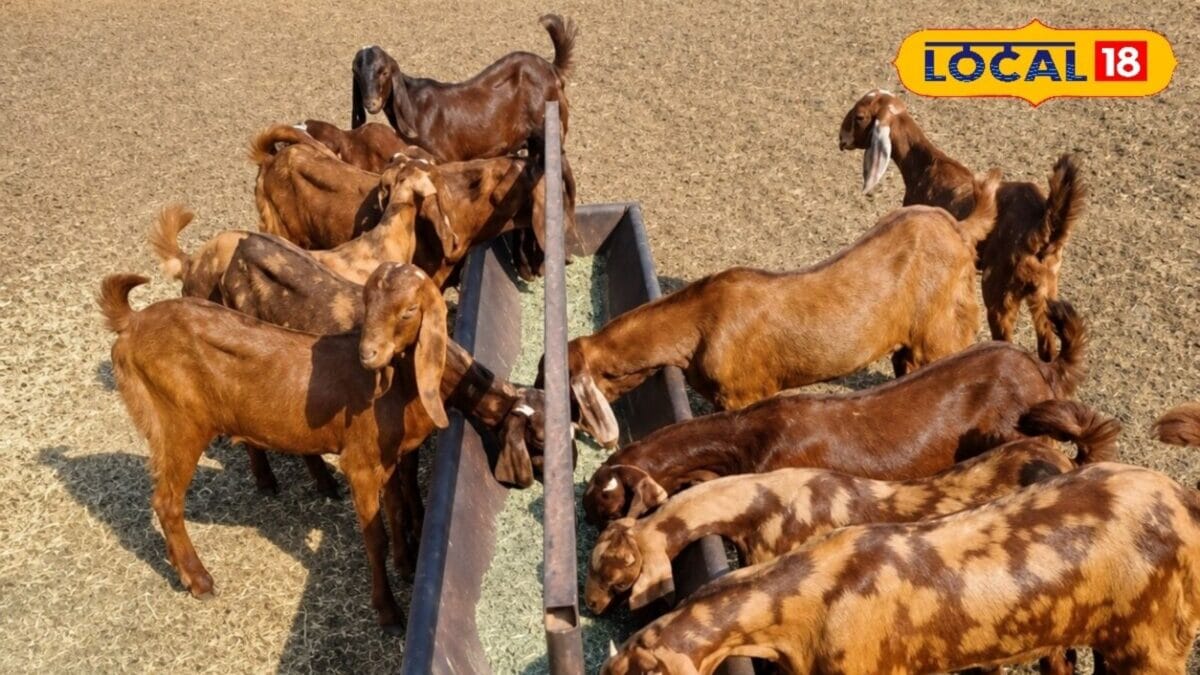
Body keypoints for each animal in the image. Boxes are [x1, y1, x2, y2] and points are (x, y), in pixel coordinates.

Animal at [102, 263, 453, 630]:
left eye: (409, 310)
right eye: (367, 302)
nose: (368, 354)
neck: (394, 387)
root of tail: (132, 322)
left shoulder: (388, 459)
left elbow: (396, 512)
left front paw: (408, 566)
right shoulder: (360, 465)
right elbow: (375, 538)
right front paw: (388, 612)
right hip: (178, 421)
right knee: (167, 501)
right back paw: (199, 580)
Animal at [839, 90, 1086, 360]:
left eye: (860, 116)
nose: (841, 139)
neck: (926, 166)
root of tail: (1043, 227)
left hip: (999, 286)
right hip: (1045, 288)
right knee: (1047, 346)